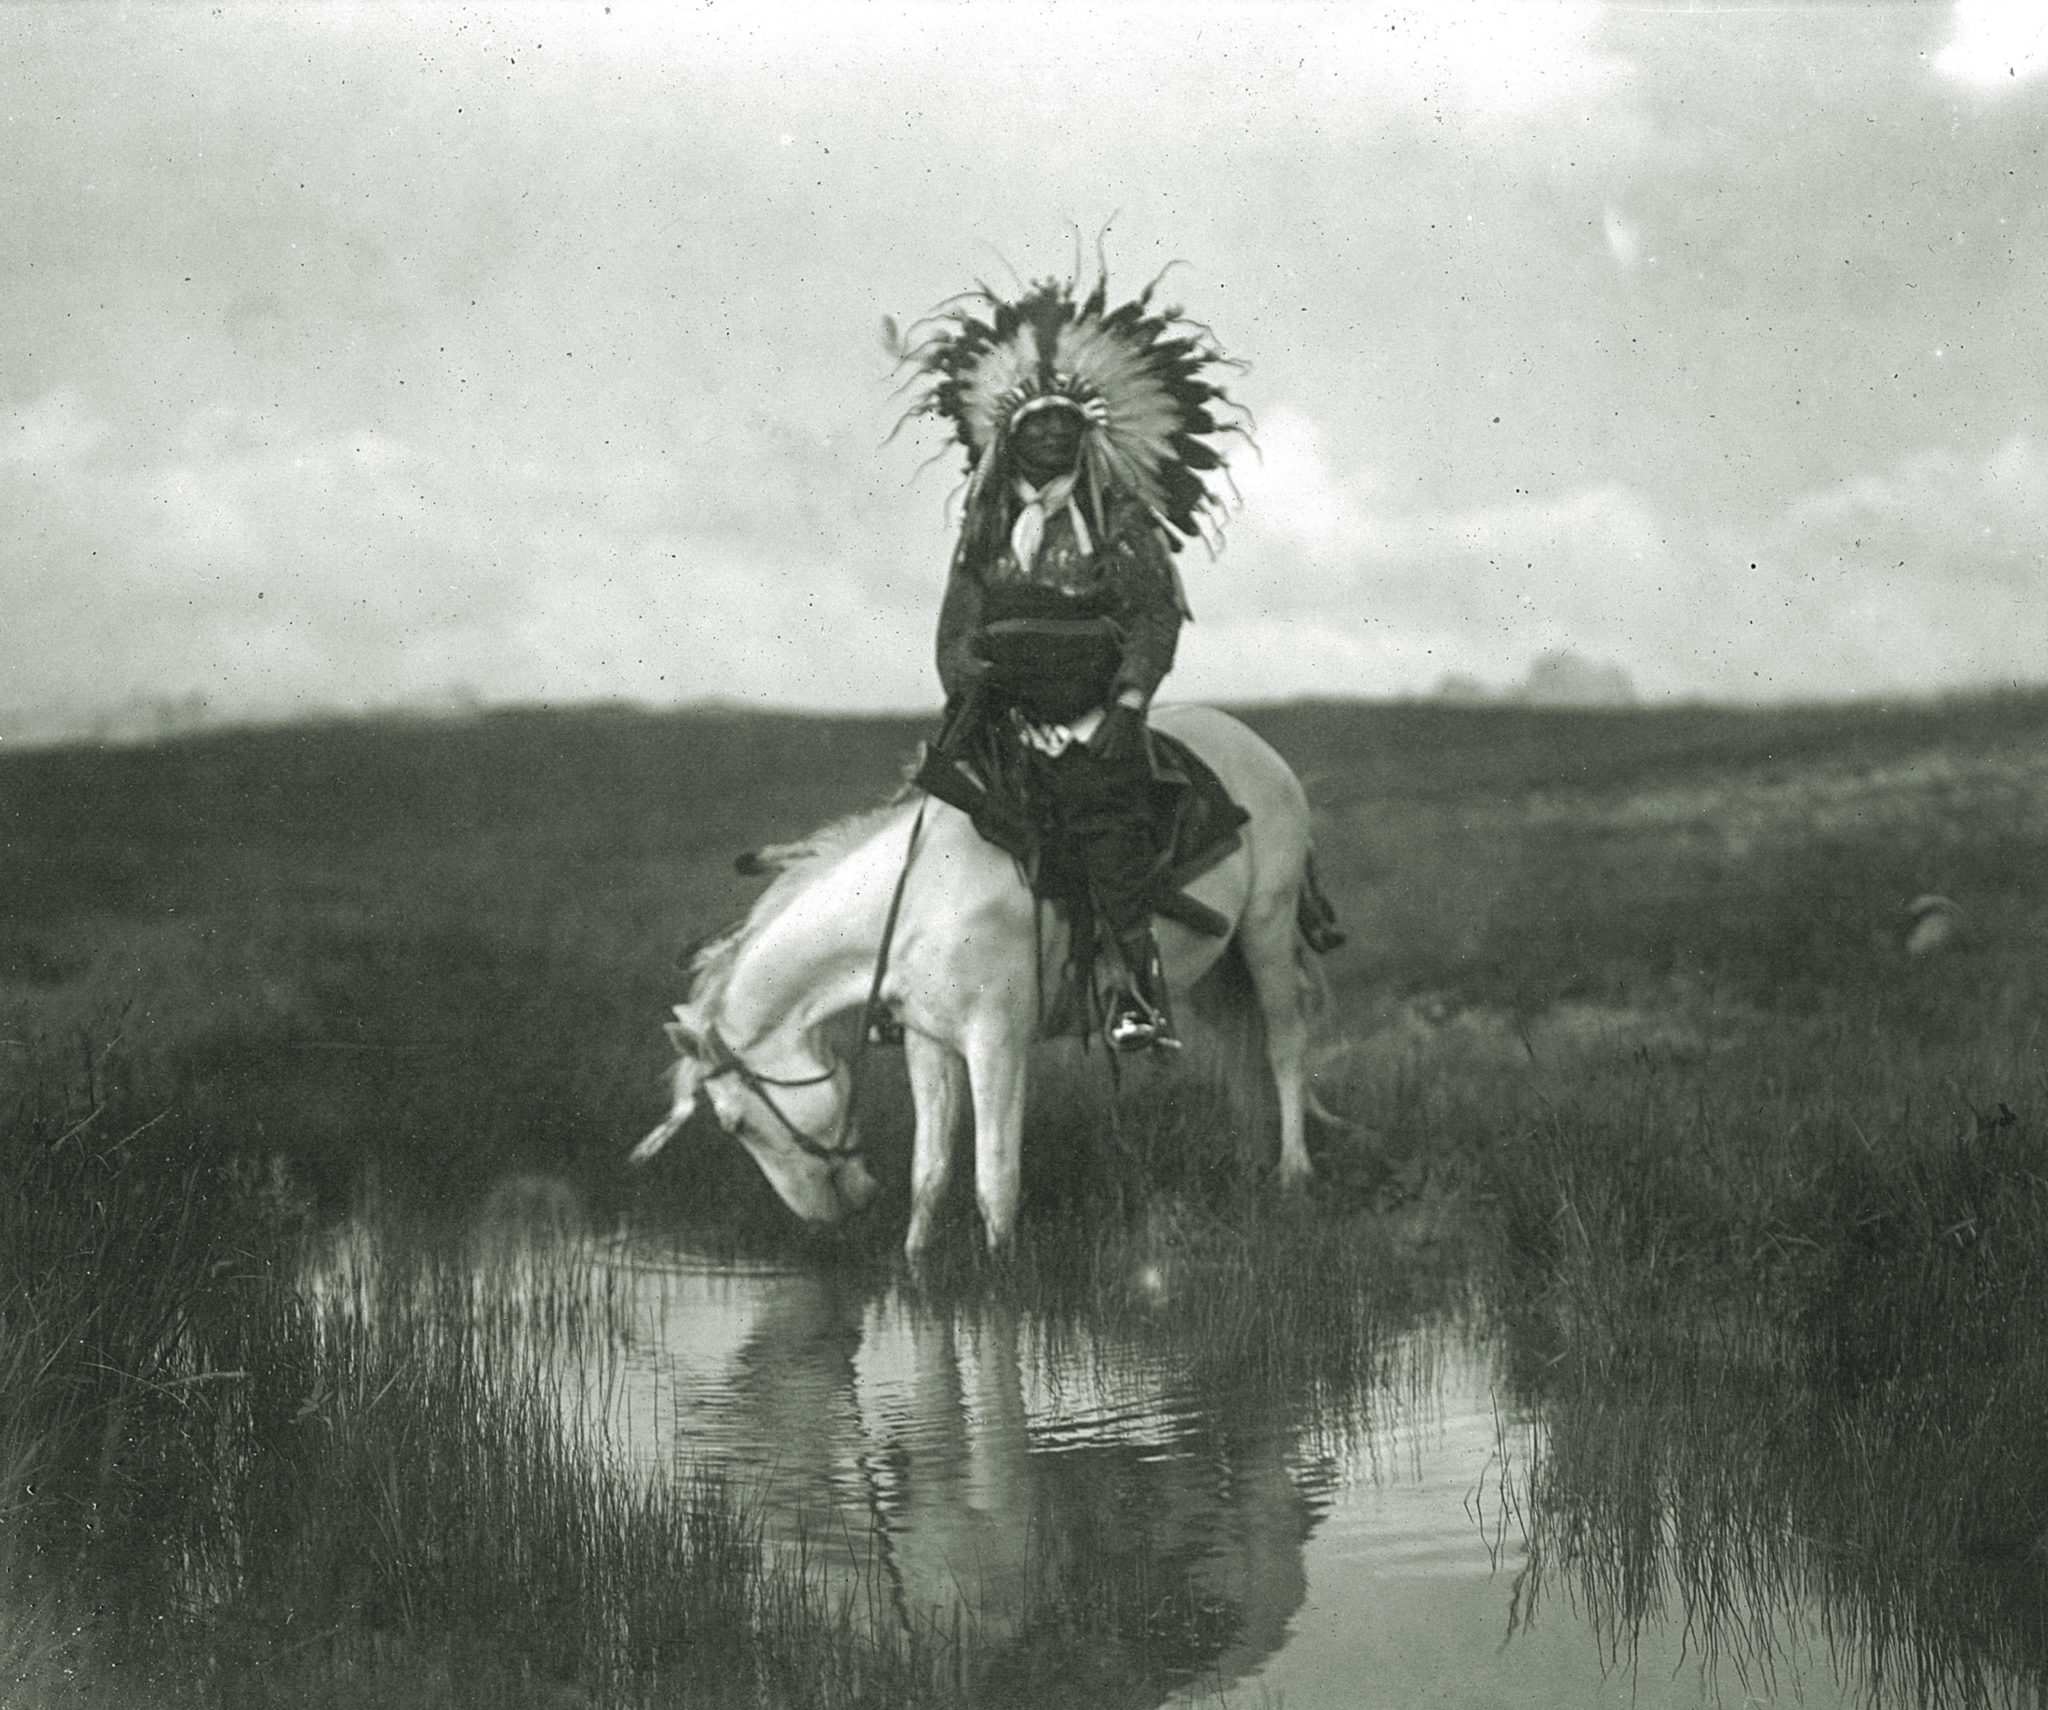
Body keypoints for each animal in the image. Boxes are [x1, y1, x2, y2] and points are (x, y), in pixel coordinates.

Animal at [628, 704, 1327, 1260]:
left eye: (735, 1125)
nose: (825, 1220)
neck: (919, 904)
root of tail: (1250, 740)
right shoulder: (929, 1044)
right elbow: (930, 1172)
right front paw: (914, 1274)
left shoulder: (996, 1048)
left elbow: (995, 1180)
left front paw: (998, 1289)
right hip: (1213, 969)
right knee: (1240, 1059)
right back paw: (1251, 1161)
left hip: (1265, 931)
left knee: (1284, 1048)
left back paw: (1294, 1173)